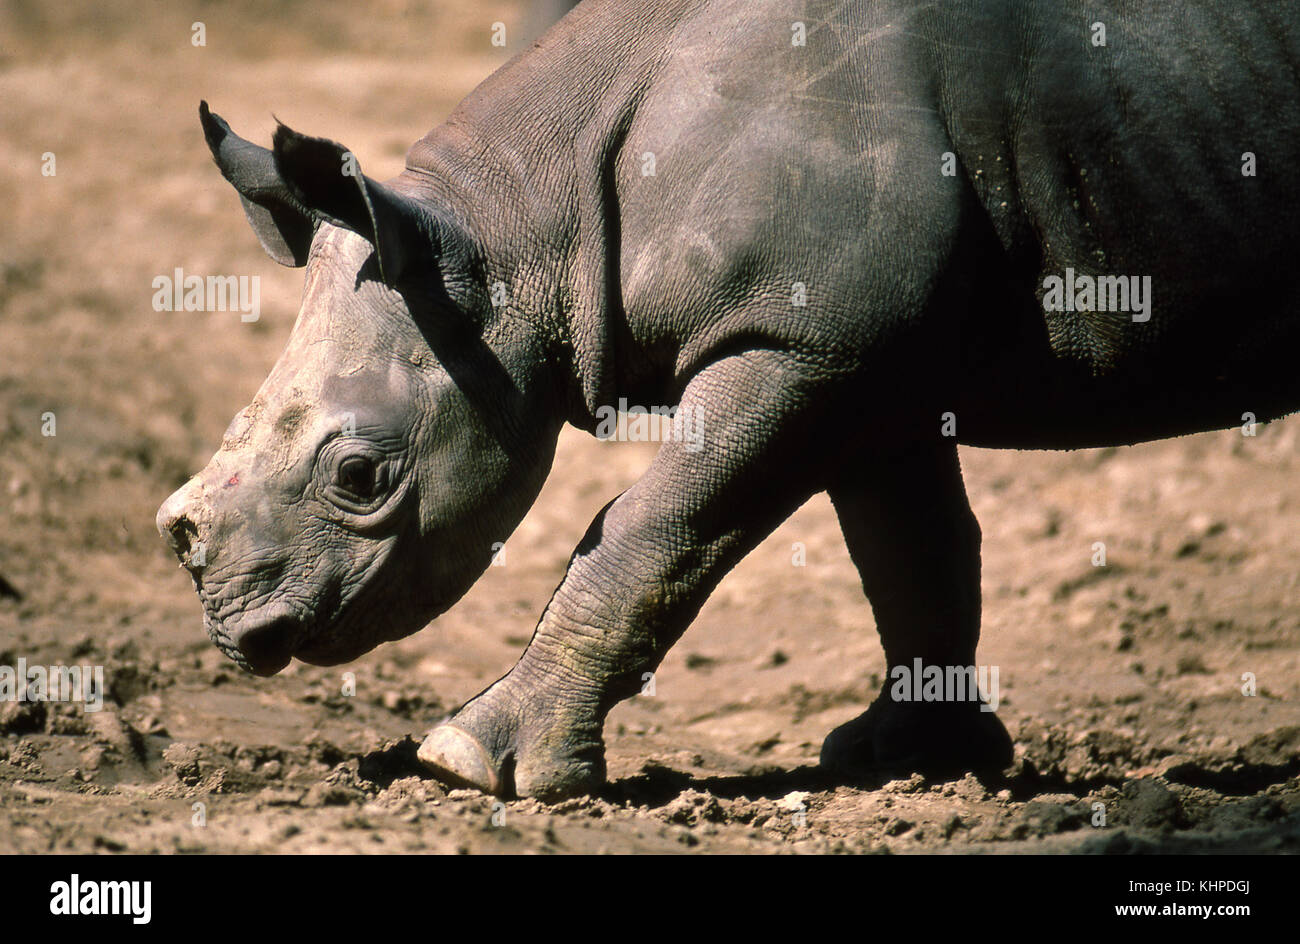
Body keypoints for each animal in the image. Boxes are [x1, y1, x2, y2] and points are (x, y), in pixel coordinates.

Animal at [156, 0, 1300, 799]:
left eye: (361, 475)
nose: (231, 622)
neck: (520, 234)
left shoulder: (803, 342)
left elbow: (648, 528)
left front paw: (470, 762)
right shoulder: (867, 354)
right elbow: (914, 553)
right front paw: (910, 759)